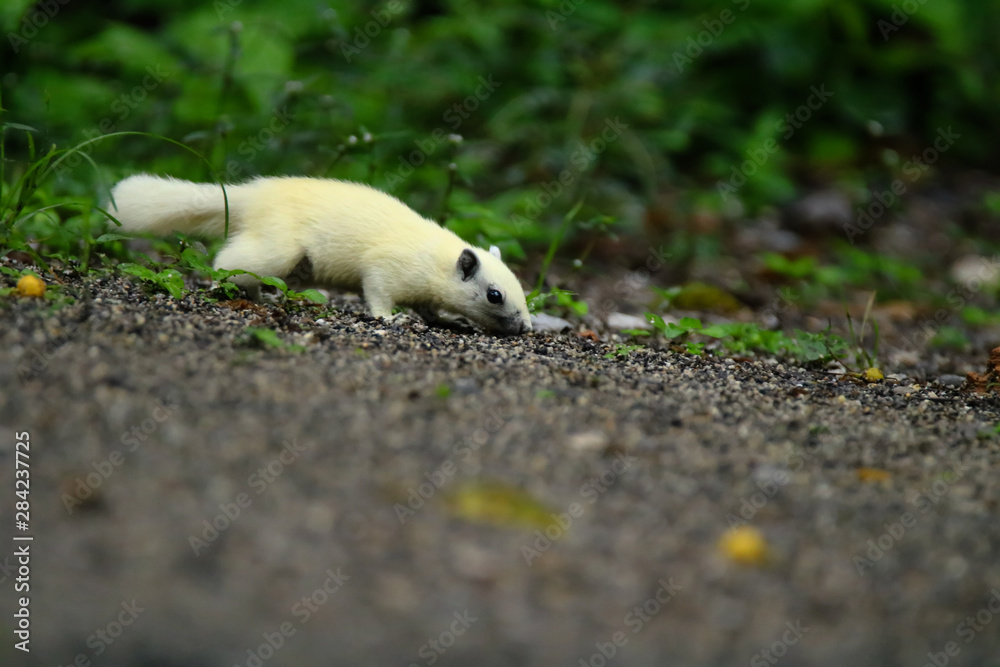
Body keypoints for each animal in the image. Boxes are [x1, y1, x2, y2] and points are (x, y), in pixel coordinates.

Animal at [108, 175, 532, 336]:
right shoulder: (385, 269)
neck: (435, 261)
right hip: (277, 248)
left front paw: (452, 321)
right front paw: (390, 319)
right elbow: (378, 296)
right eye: (494, 295)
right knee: (227, 263)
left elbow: (429, 310)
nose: (526, 327)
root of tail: (249, 196)